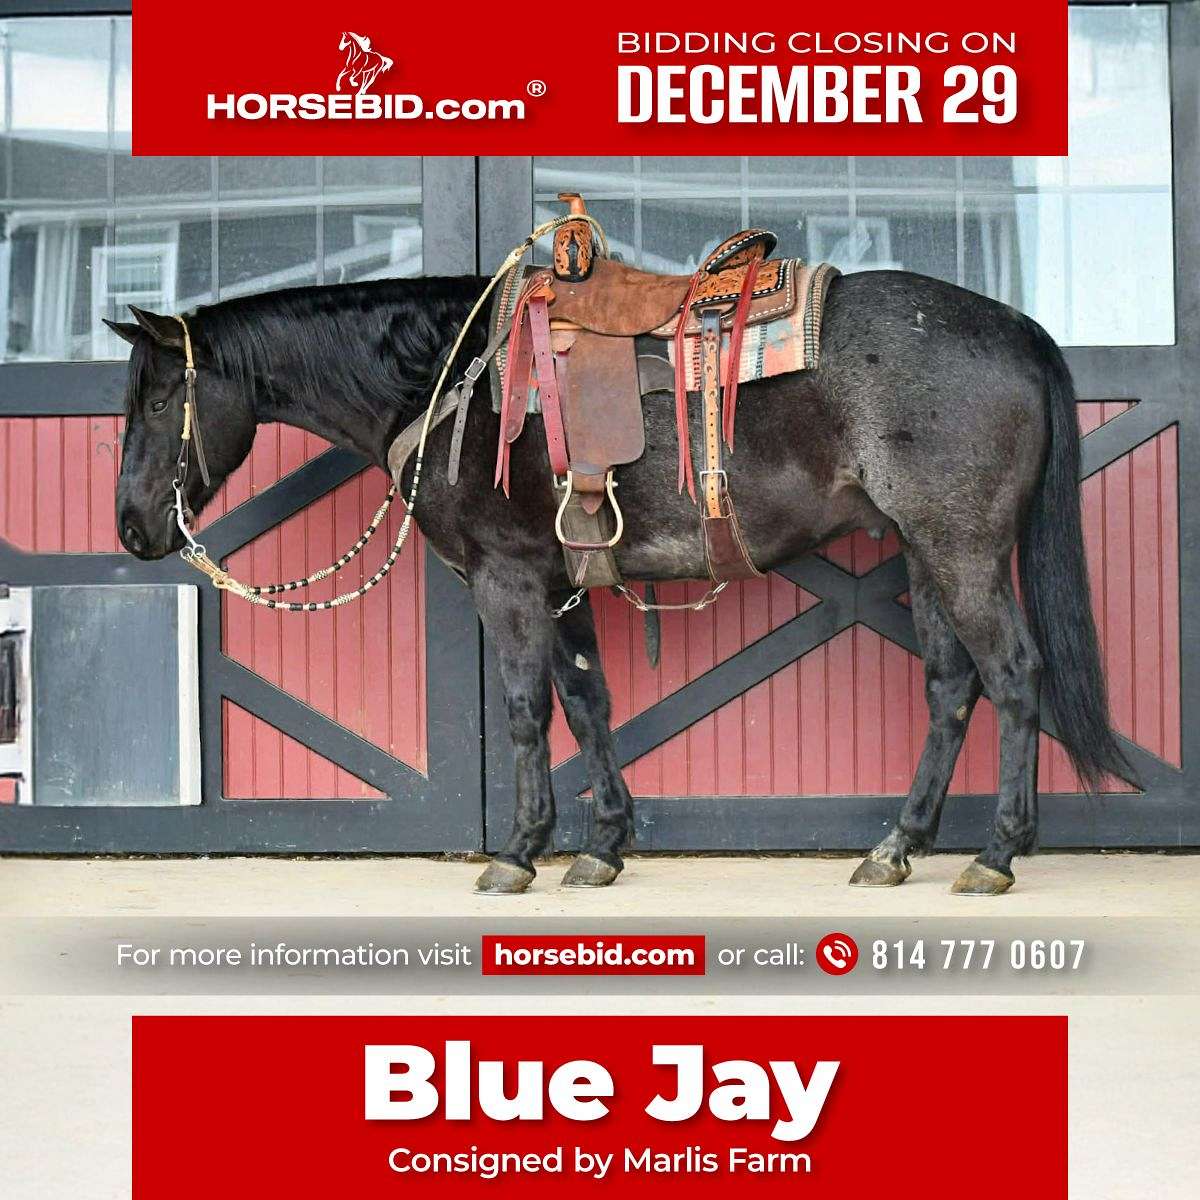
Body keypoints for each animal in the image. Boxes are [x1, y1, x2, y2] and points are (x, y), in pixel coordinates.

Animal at [106, 267, 1131, 895]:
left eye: (158, 399)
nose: (130, 528)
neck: (448, 379)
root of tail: (1016, 327)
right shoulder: (559, 583)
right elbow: (586, 702)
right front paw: (602, 847)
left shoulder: (508, 582)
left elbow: (529, 711)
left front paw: (519, 854)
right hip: (925, 553)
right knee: (952, 687)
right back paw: (897, 846)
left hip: (962, 553)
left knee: (1014, 678)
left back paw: (995, 854)